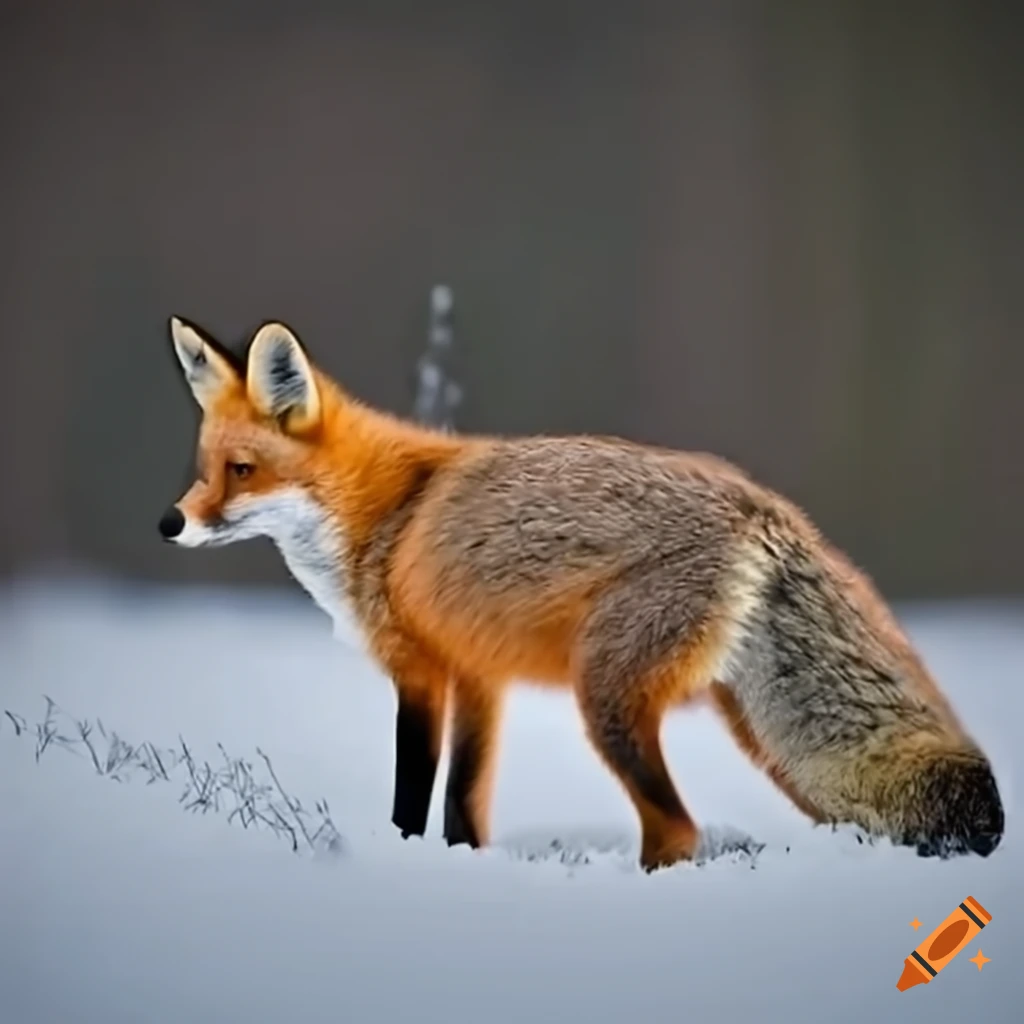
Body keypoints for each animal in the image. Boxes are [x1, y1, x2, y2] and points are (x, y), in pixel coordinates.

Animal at [158, 315, 1004, 871]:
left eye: (242, 471)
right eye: (204, 469)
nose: (170, 523)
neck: (387, 517)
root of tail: (761, 506)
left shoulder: (420, 673)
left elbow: (411, 800)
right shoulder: (480, 678)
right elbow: (464, 808)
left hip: (606, 698)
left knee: (680, 832)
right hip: (751, 730)